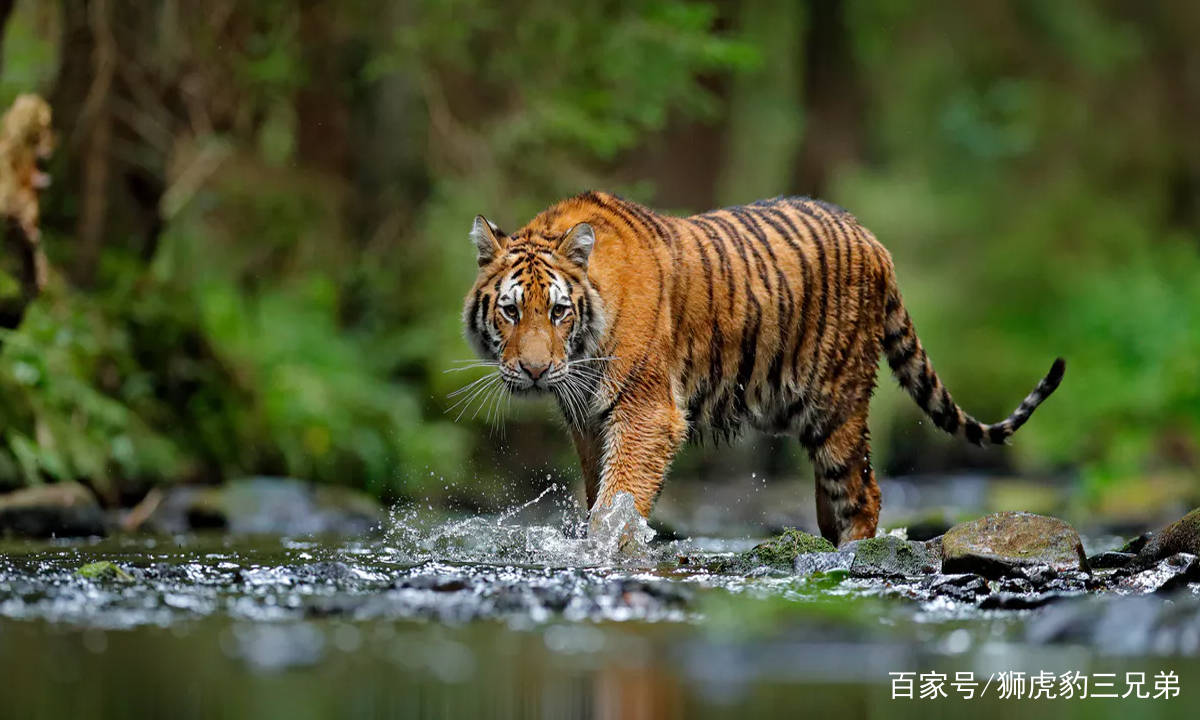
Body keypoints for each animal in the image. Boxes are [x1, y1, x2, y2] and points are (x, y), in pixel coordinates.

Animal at [461, 191, 1064, 545]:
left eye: (558, 311)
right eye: (511, 310)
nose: (535, 371)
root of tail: (873, 240)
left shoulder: (646, 413)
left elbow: (617, 500)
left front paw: (608, 549)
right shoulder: (588, 420)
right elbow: (598, 493)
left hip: (837, 404)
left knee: (864, 493)